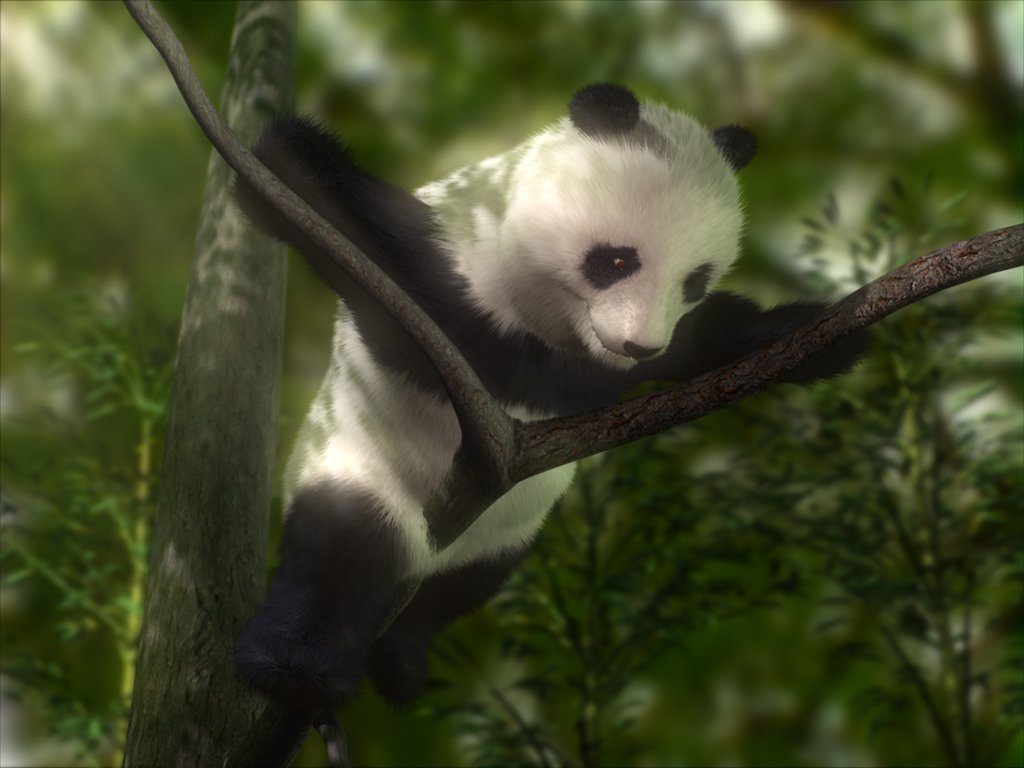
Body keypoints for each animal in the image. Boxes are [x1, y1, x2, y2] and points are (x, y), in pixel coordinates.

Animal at [234, 83, 864, 710]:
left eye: (694, 282)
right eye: (618, 260)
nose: (638, 346)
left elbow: (706, 337)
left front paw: (826, 337)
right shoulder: (453, 247)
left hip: (506, 536)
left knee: (459, 590)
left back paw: (402, 660)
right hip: (355, 465)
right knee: (344, 550)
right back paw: (297, 668)